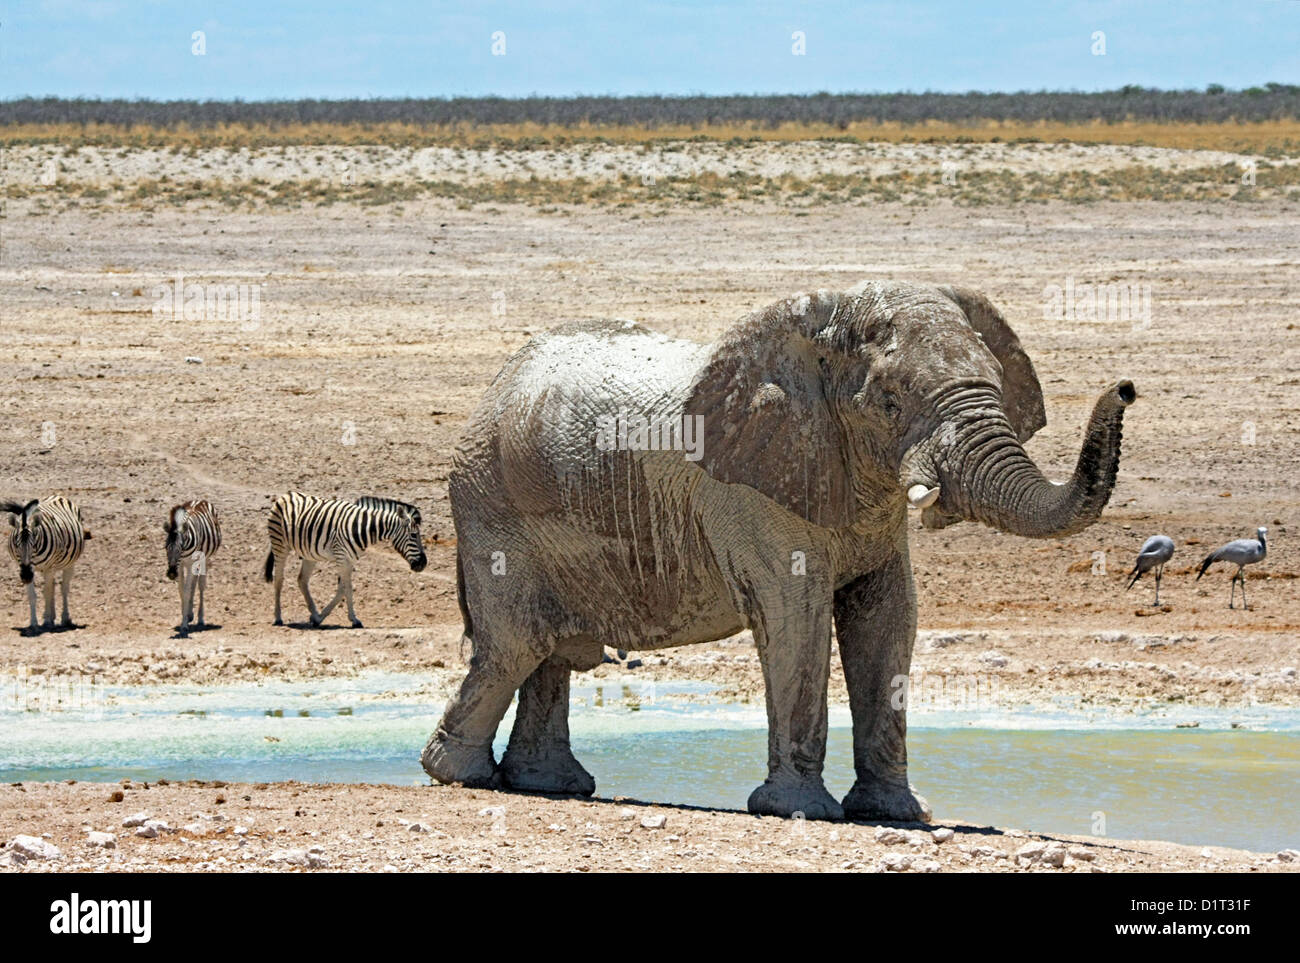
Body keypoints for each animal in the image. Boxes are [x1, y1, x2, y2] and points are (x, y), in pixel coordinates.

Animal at [422, 280, 1135, 821]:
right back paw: (457, 775)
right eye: (890, 403)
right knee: (517, 644)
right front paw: (799, 811)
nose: (1125, 388)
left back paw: (548, 785)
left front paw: (897, 814)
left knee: (549, 652)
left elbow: (889, 621)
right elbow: (799, 617)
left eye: (995, 382)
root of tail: (494, 387)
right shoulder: (753, 491)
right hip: (491, 504)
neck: (824, 330)